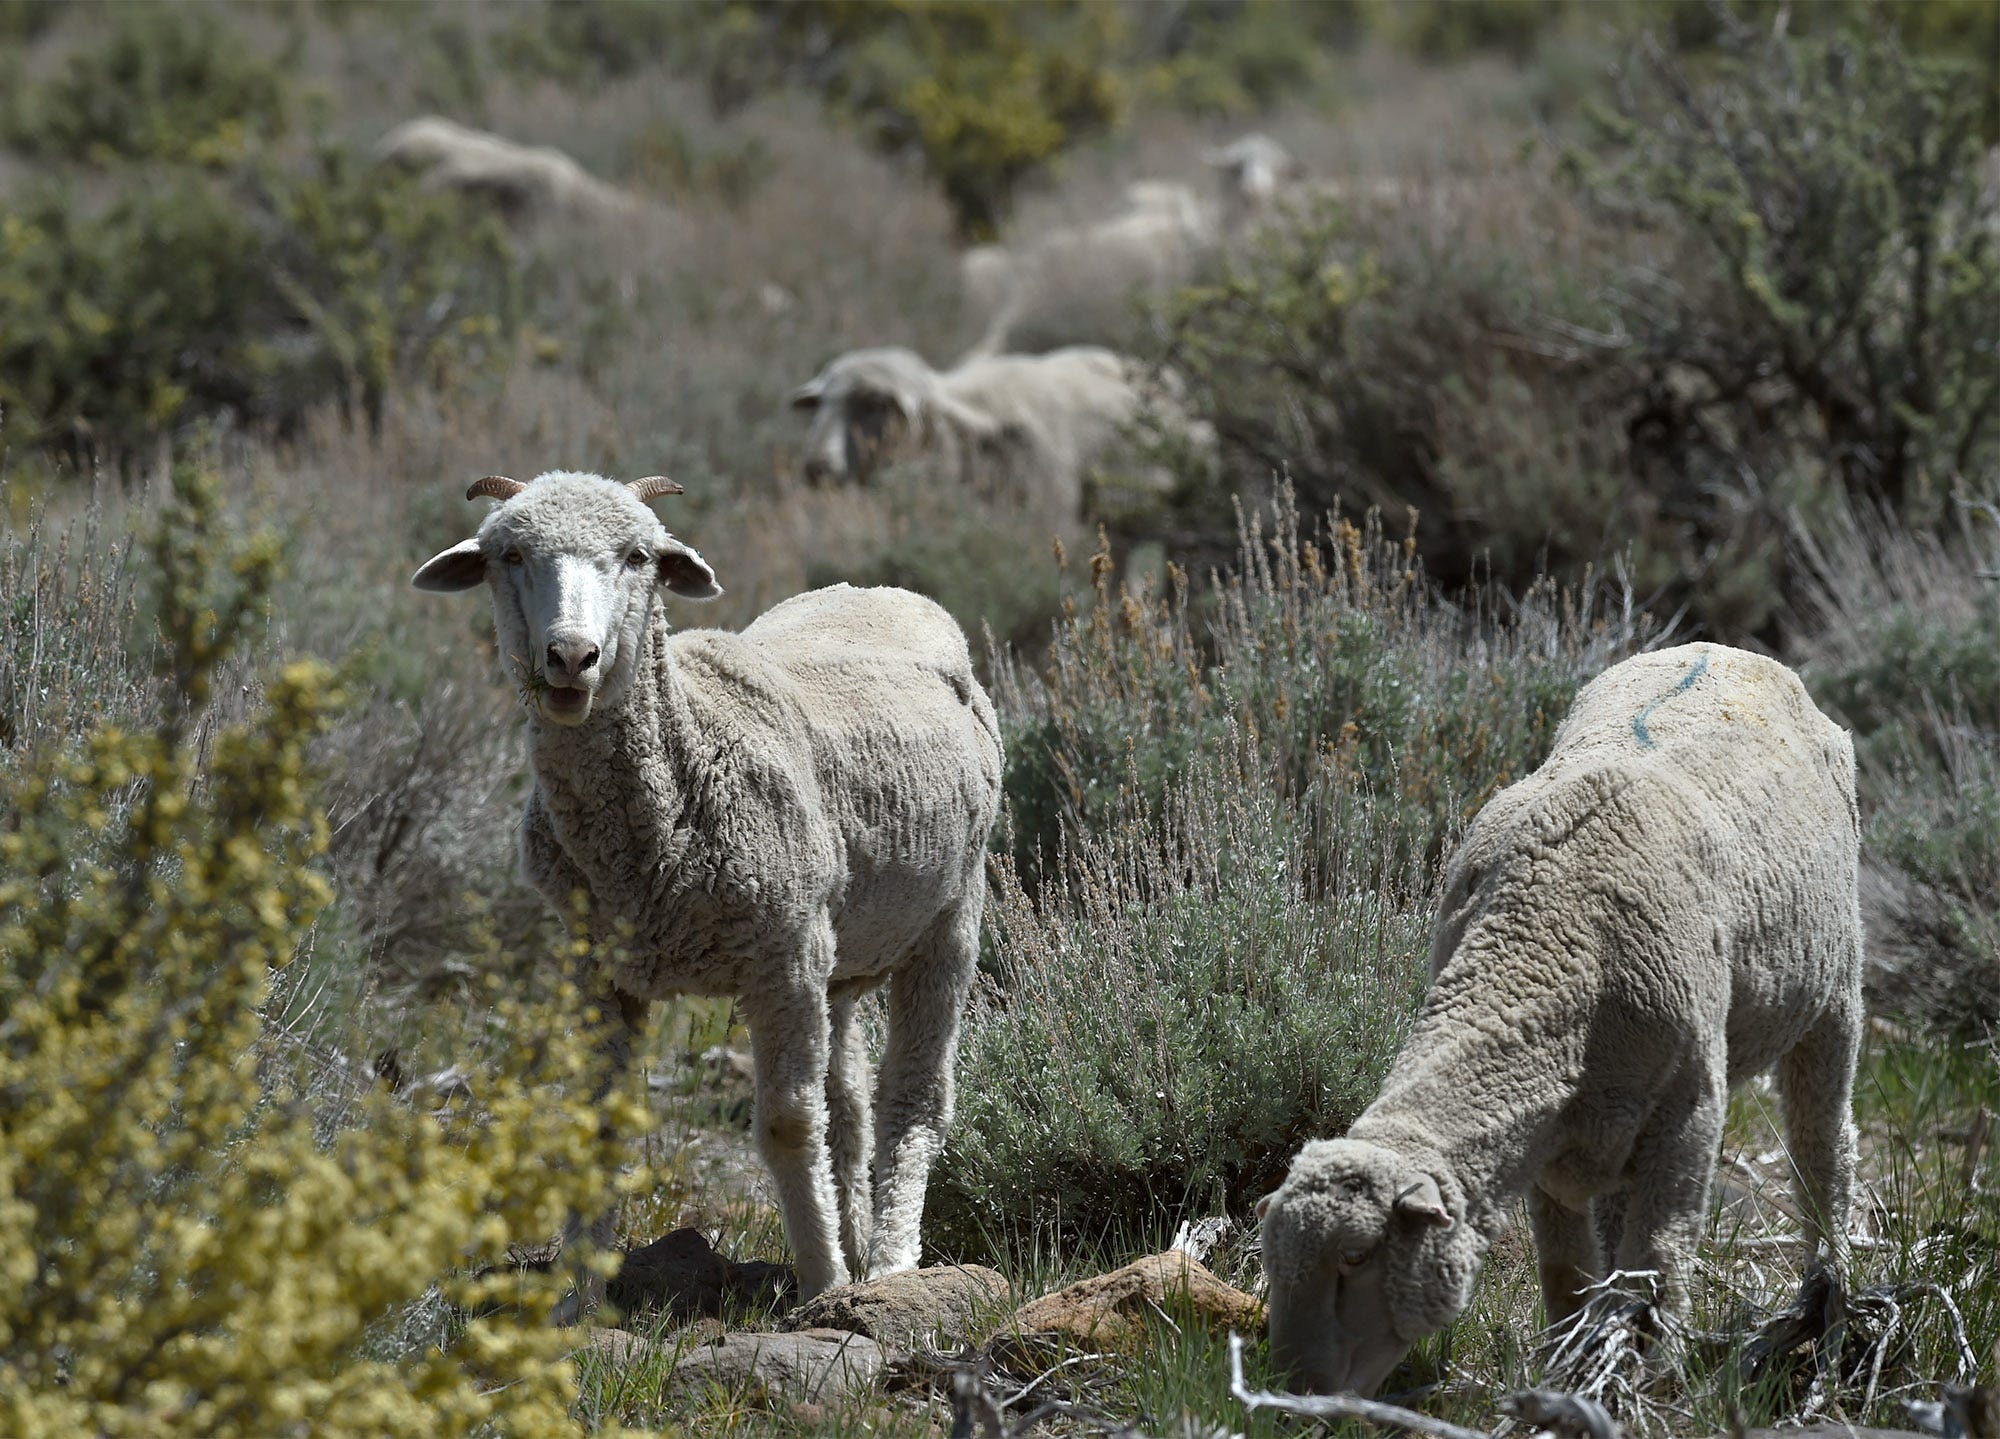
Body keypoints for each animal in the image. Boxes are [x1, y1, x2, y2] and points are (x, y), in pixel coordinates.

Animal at [411, 470, 1003, 1306]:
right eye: (509, 556)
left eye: (638, 557)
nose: (571, 655)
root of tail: (884, 588)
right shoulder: (599, 964)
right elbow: (598, 1131)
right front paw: (578, 1301)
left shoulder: (782, 956)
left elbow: (789, 1124)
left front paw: (819, 1280)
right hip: (842, 950)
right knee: (850, 1103)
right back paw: (858, 1238)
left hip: (949, 915)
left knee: (912, 1098)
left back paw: (886, 1262)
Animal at [1259, 642, 1863, 1396]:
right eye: (1271, 1264)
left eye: (1355, 1258)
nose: (1288, 1390)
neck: (1546, 933)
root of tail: (1722, 650)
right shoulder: (1548, 1143)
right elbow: (1567, 1274)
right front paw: (1569, 1372)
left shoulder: (1690, 1118)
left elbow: (1658, 1268)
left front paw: (1641, 1386)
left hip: (1835, 993)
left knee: (1824, 1149)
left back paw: (1828, 1303)